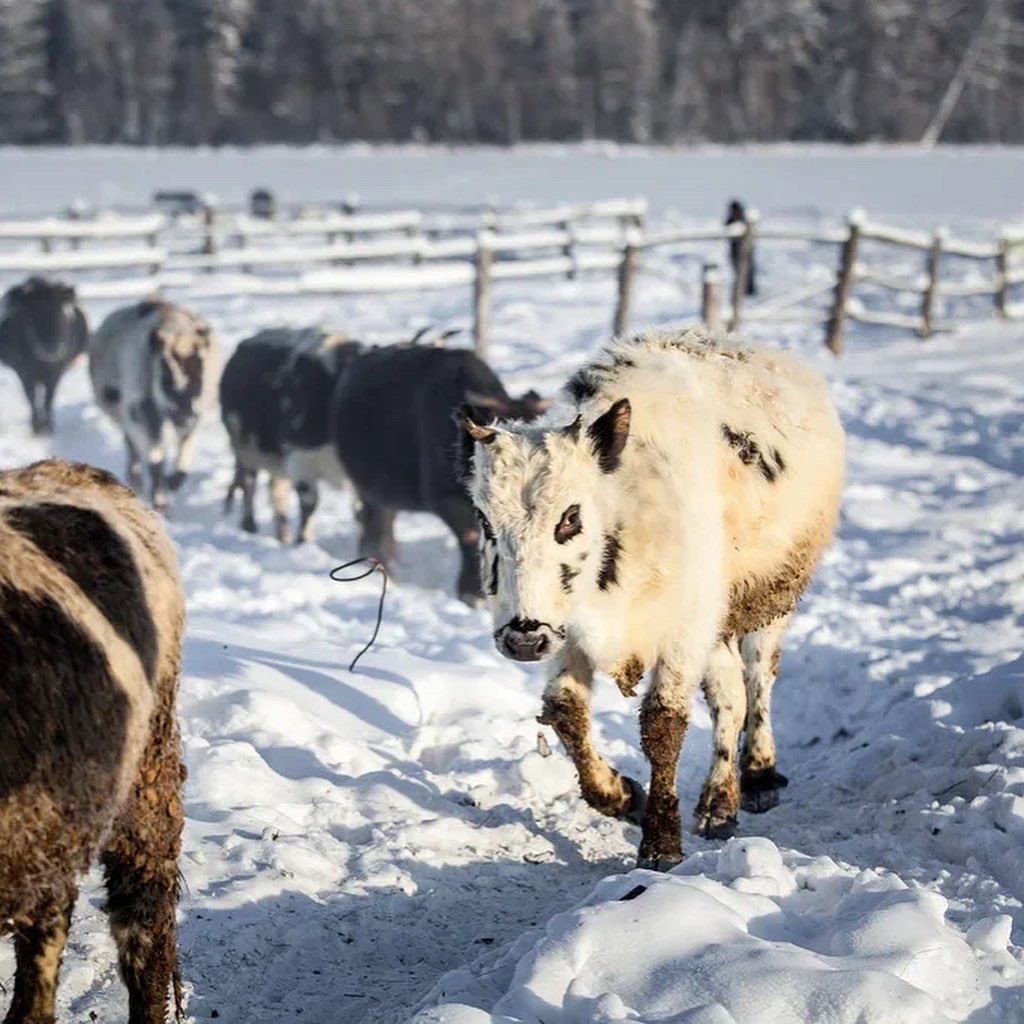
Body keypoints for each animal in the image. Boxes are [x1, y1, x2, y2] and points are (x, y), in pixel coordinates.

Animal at [0, 277, 89, 435]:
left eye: (60, 313)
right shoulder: (24, 372)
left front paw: (48, 426)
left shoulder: (56, 372)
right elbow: (31, 397)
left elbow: (49, 397)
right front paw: (36, 426)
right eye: (31, 314)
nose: (51, 349)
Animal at [89, 300, 220, 511]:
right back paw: (137, 482)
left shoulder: (193, 418)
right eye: (165, 374)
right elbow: (155, 461)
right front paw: (160, 501)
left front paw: (173, 481)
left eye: (200, 369)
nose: (185, 412)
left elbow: (184, 452)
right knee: (134, 449)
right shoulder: (141, 414)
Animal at [221, 327, 362, 543]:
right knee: (249, 485)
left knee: (276, 492)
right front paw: (303, 541)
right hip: (245, 450)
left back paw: (282, 534)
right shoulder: (300, 463)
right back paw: (250, 525)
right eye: (293, 386)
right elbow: (309, 504)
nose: (294, 429)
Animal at [459, 327, 844, 869]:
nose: (523, 639)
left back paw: (758, 775)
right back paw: (718, 803)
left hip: (772, 598)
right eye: (484, 519)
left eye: (570, 517)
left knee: (758, 678)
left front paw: (661, 843)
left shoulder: (682, 631)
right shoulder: (570, 631)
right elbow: (565, 709)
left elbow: (664, 722)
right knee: (728, 693)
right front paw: (621, 795)